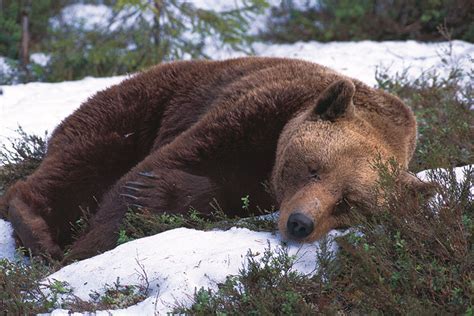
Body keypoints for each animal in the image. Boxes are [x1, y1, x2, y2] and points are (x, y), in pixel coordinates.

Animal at [0, 56, 430, 260]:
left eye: (348, 202)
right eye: (313, 169)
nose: (300, 223)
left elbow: (213, 192)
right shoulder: (251, 113)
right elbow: (161, 167)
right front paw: (89, 245)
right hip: (140, 104)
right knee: (83, 162)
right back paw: (37, 230)